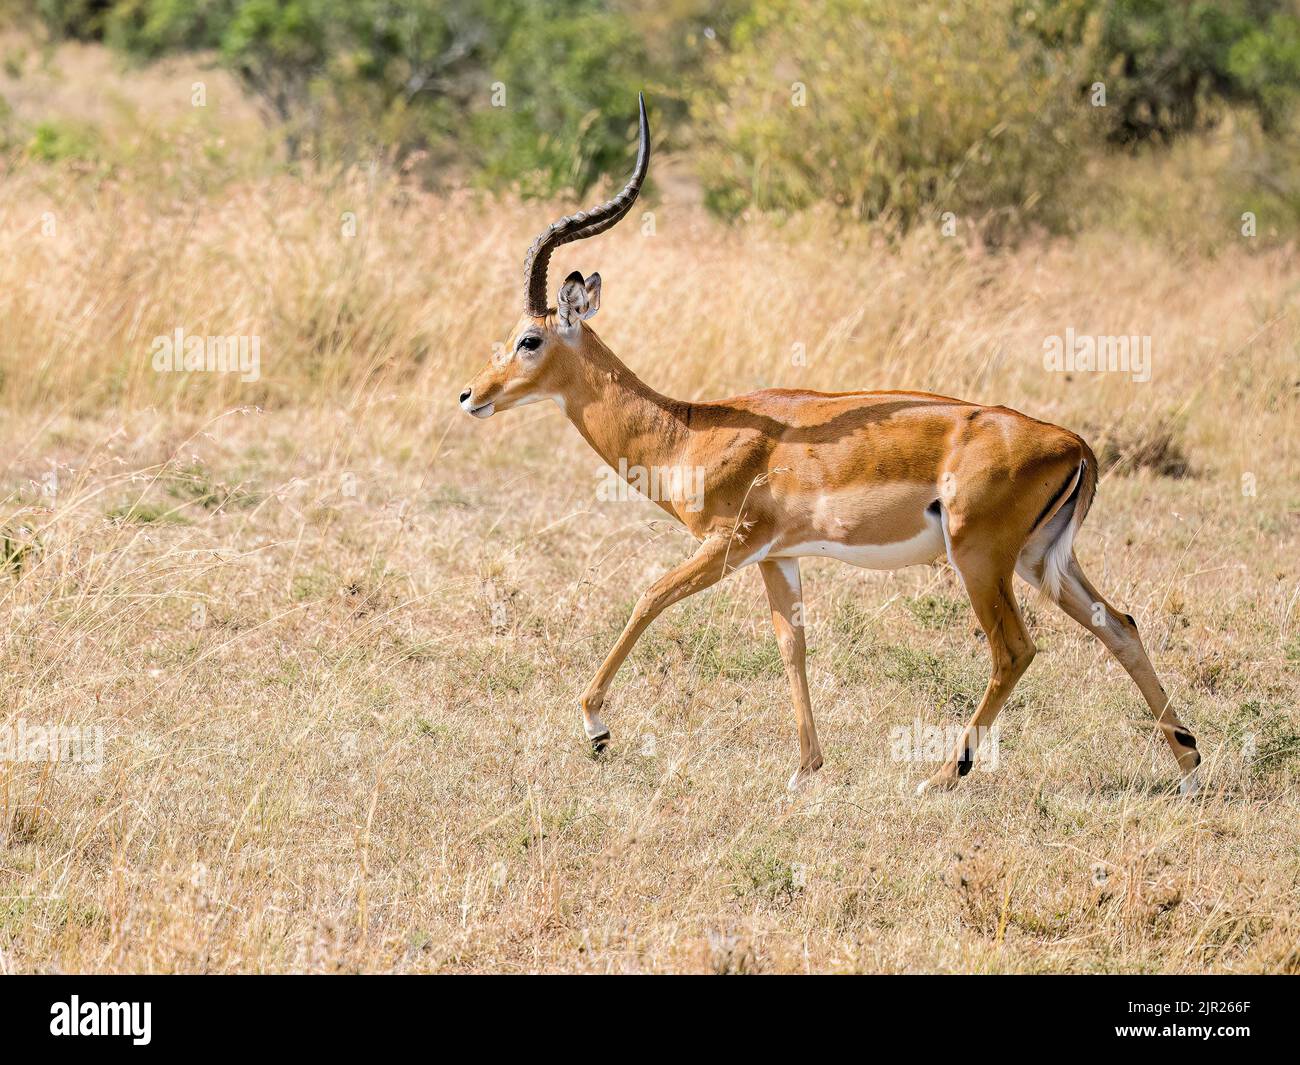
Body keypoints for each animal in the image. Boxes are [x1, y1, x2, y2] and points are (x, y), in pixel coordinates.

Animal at [459, 96, 1202, 796]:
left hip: (980, 557)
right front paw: (805, 768)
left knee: (1015, 650)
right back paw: (1190, 768)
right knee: (1121, 625)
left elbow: (649, 596)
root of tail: (1074, 445)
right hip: (1040, 559)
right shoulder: (777, 556)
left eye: (530, 338)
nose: (470, 395)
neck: (691, 430)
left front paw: (596, 727)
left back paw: (943, 774)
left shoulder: (728, 543)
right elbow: (793, 646)